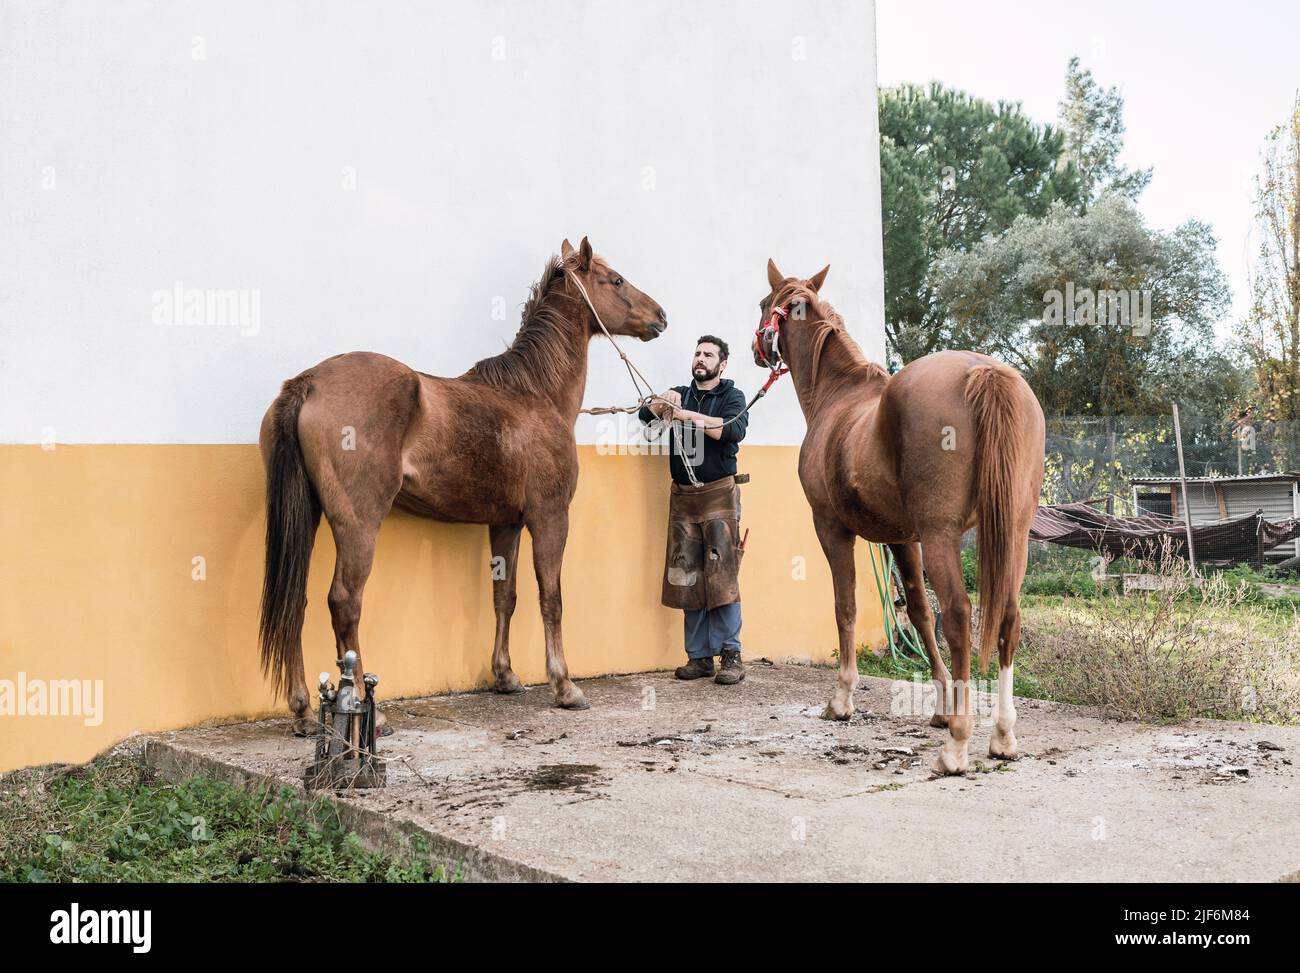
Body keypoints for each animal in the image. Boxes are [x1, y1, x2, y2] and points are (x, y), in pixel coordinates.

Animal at [258, 237, 667, 732]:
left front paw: (505, 676)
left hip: (309, 514)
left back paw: (302, 710)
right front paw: (565, 686)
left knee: (294, 603)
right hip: (358, 524)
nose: (660, 315)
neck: (534, 395)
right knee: (344, 603)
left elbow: (505, 597)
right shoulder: (550, 517)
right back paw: (369, 714)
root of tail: (308, 382)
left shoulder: (506, 523)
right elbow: (551, 597)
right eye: (615, 280)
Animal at [753, 260, 1045, 774]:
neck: (838, 396)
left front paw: (842, 700)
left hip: (942, 534)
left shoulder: (831, 529)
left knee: (960, 614)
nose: (753, 350)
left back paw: (957, 746)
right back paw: (1003, 737)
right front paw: (941, 704)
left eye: (764, 304)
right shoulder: (903, 539)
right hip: (1014, 535)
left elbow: (845, 607)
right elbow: (920, 614)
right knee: (1007, 618)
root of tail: (984, 371)